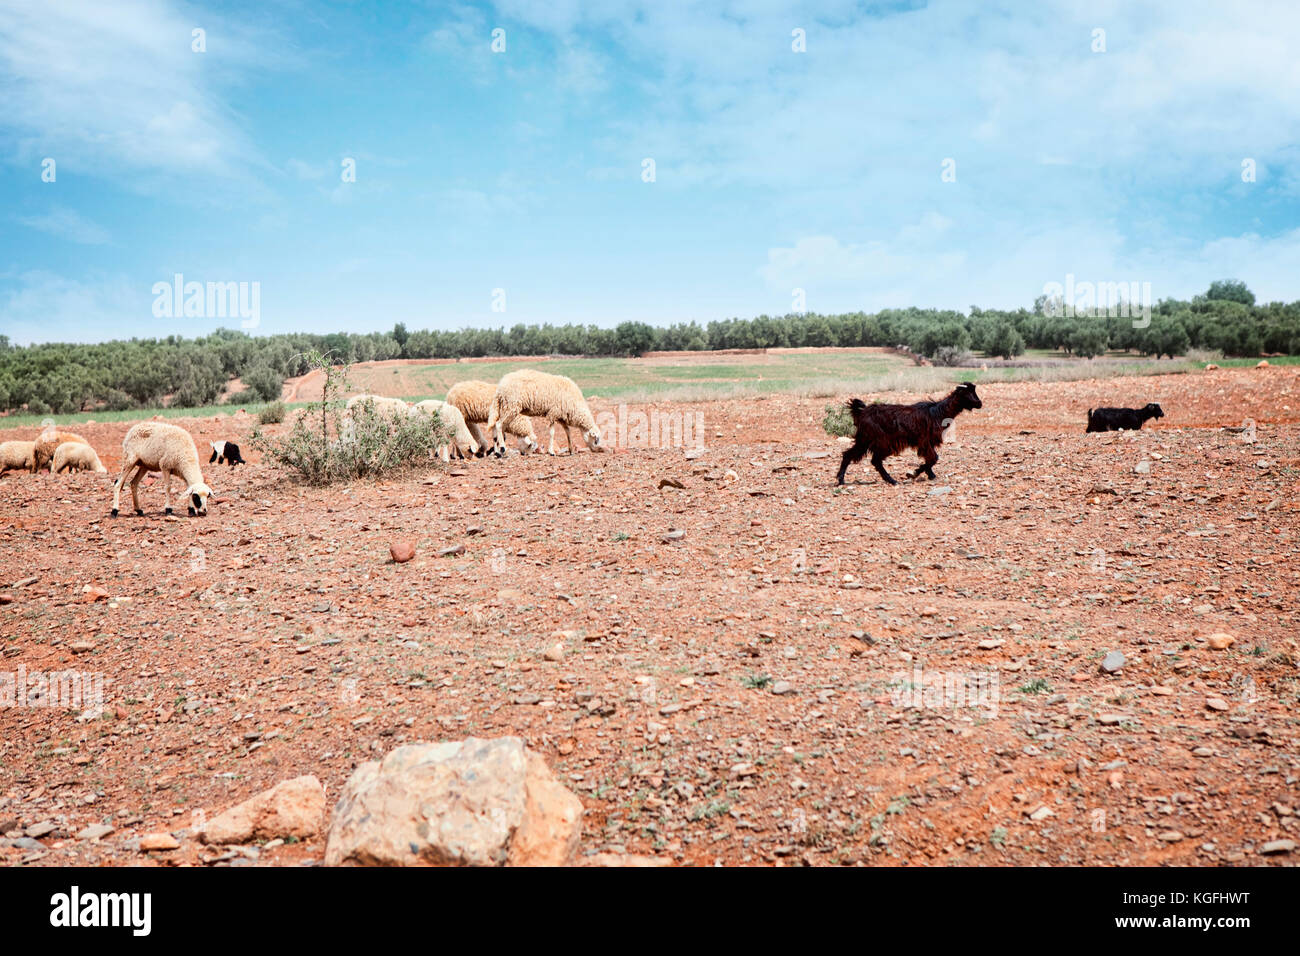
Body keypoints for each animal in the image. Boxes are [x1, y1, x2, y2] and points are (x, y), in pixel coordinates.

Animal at [836, 382, 983, 486]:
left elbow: (931, 458)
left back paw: (841, 480)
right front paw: (914, 473)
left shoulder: (928, 442)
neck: (938, 412)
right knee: (874, 460)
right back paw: (892, 481)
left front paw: (929, 474)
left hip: (865, 439)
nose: (980, 403)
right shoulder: (924, 440)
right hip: (879, 440)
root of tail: (863, 411)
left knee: (850, 455)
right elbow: (933, 458)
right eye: (968, 393)